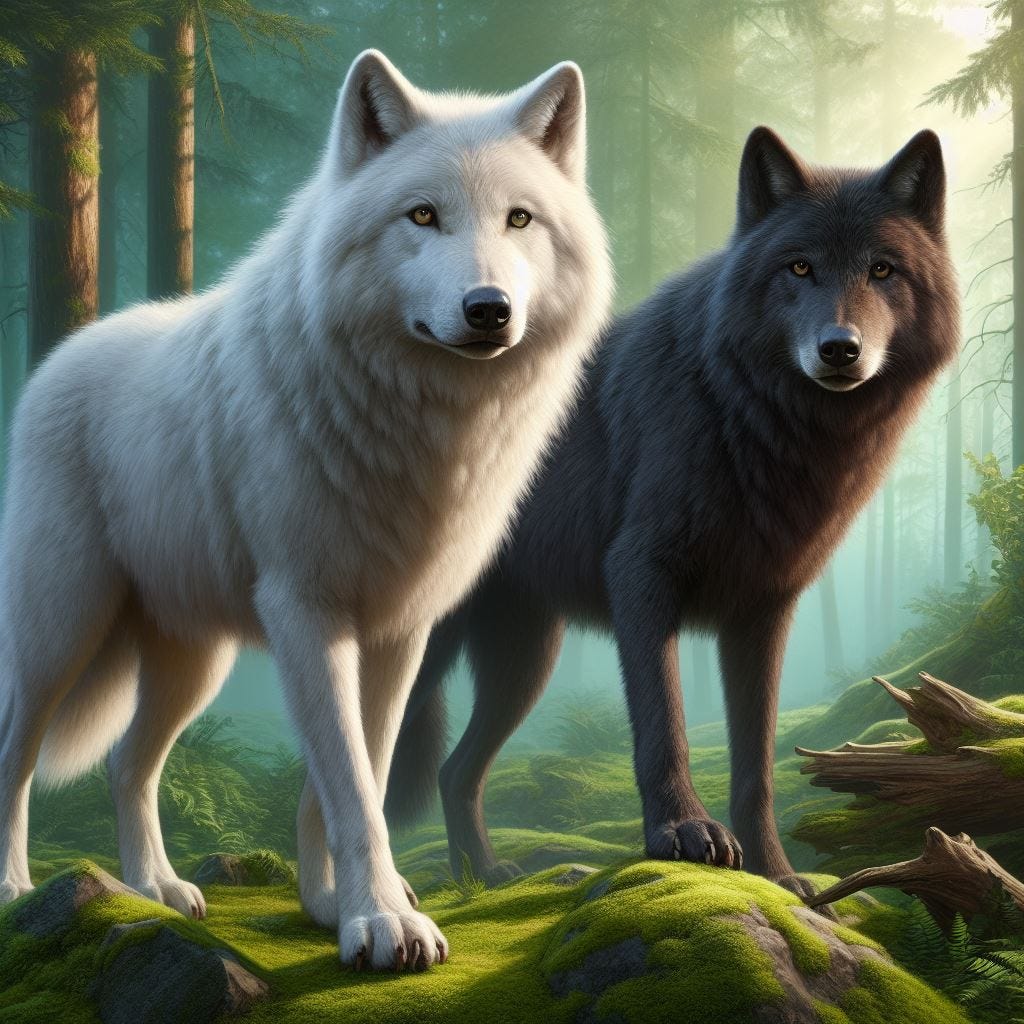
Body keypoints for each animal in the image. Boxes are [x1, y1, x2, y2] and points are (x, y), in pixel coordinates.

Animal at [0, 50, 611, 970]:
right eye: (422, 215)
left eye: (519, 219)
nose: (488, 309)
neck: (422, 427)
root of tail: (57, 359)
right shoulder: (306, 612)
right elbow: (353, 784)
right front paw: (384, 923)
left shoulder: (397, 631)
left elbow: (355, 773)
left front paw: (333, 905)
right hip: (60, 634)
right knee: (17, 749)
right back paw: (12, 887)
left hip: (192, 663)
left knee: (126, 764)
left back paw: (153, 889)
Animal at [386, 127, 960, 896]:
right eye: (799, 267)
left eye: (882, 270)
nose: (840, 349)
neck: (758, 422)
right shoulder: (642, 576)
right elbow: (665, 726)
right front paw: (683, 835)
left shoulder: (763, 612)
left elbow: (757, 762)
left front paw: (779, 875)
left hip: (525, 661)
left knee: (455, 770)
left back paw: (486, 875)